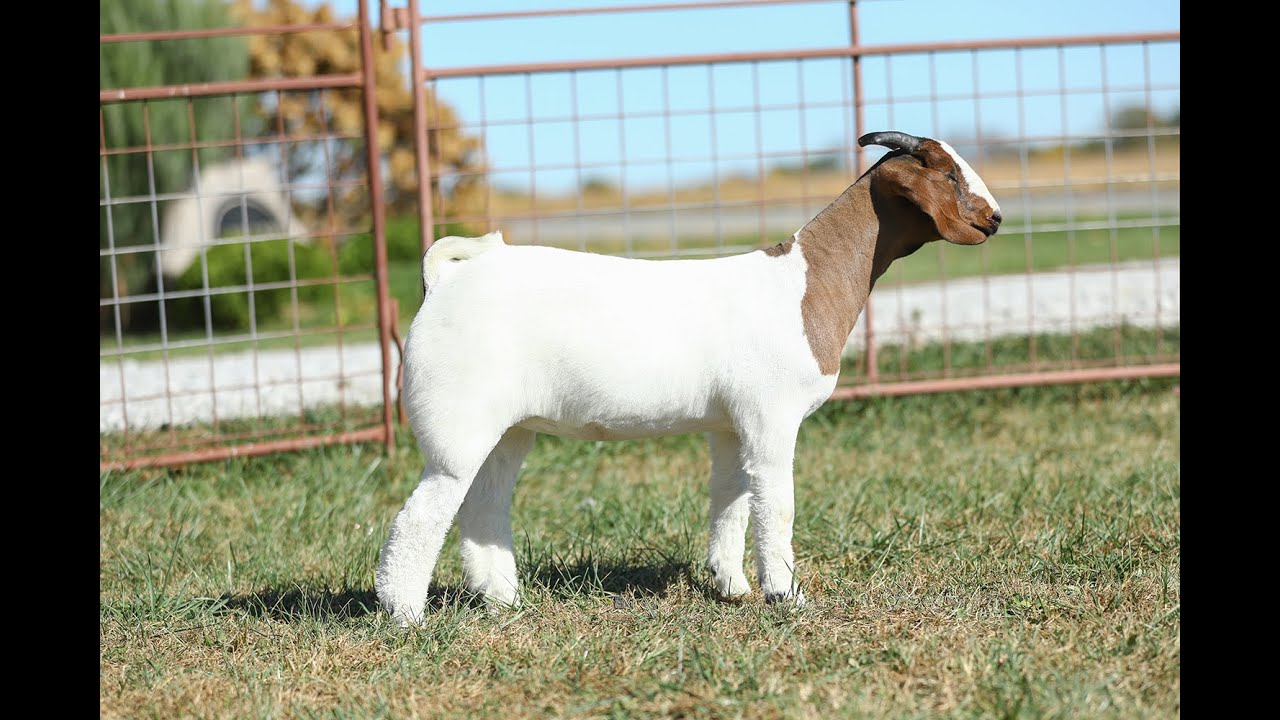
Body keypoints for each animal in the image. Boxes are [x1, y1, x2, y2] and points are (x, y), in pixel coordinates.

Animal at [376, 131, 1002, 625]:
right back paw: (407, 614)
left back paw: (503, 599)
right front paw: (785, 595)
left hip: (507, 429)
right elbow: (775, 507)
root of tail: (448, 279)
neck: (804, 284)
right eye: (946, 172)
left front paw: (732, 587)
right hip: (458, 425)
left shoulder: (730, 427)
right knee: (420, 519)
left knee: (483, 507)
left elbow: (730, 501)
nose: (995, 219)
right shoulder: (771, 420)